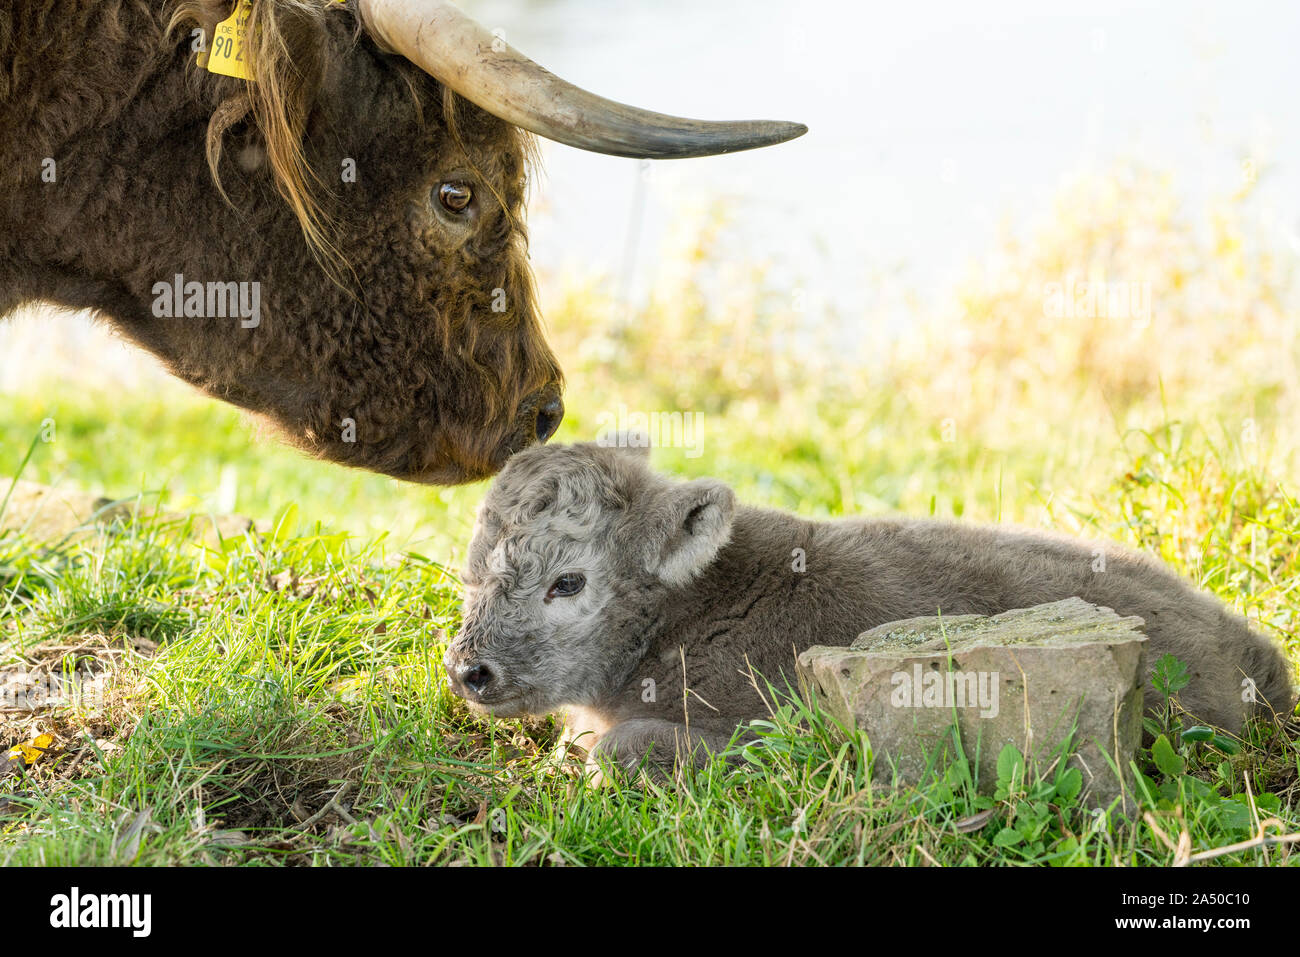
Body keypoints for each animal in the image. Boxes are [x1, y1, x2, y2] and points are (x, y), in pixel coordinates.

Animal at [444, 440, 1294, 775]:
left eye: (568, 582)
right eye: (471, 571)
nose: (468, 670)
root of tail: (1251, 647)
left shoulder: (765, 730)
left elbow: (617, 753)